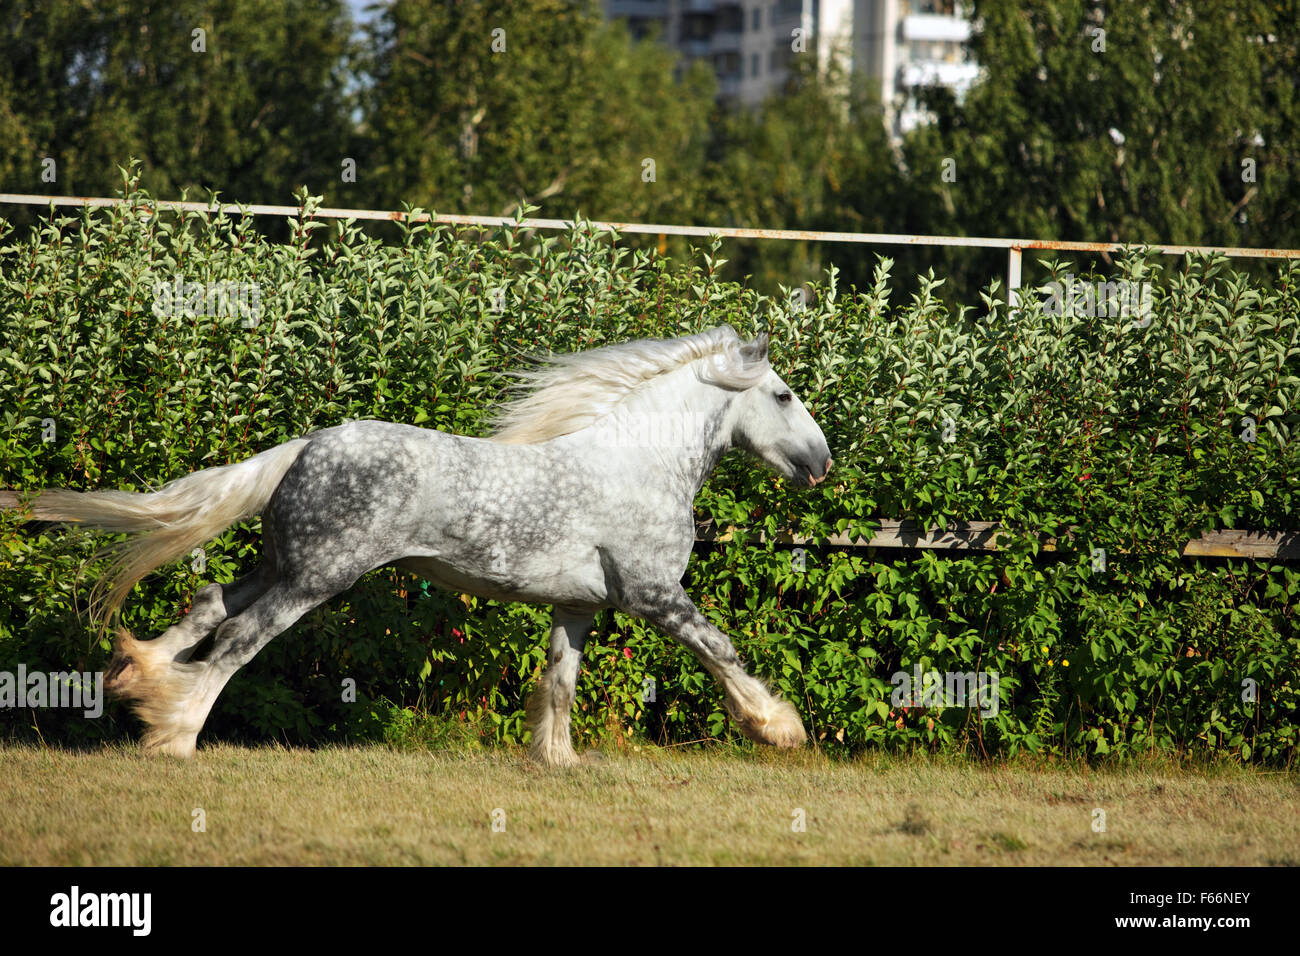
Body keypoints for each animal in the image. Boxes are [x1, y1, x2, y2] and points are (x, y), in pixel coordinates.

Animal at [0, 325, 833, 765]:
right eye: (784, 395)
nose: (821, 463)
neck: (639, 465)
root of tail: (305, 447)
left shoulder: (579, 608)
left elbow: (560, 681)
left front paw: (557, 760)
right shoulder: (654, 595)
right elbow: (721, 650)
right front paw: (780, 728)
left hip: (284, 563)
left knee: (209, 604)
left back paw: (136, 679)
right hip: (318, 577)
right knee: (239, 639)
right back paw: (173, 734)